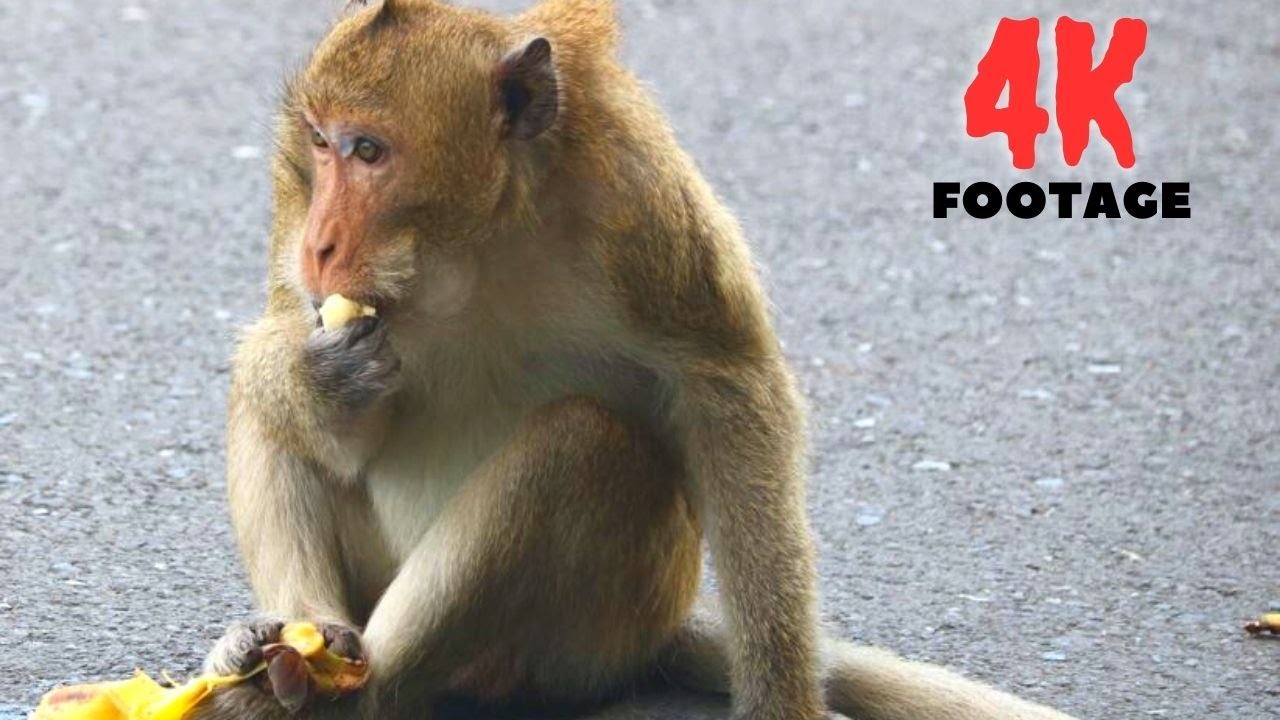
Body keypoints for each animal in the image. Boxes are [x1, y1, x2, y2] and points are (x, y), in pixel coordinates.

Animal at [192, 1, 1079, 719]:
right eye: (319, 143)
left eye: (369, 151)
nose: (319, 244)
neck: (478, 241)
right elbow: (289, 339)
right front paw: (318, 376)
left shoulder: (639, 202)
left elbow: (726, 387)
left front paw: (780, 696)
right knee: (260, 405)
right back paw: (290, 650)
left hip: (593, 635)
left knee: (583, 442)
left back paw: (347, 688)